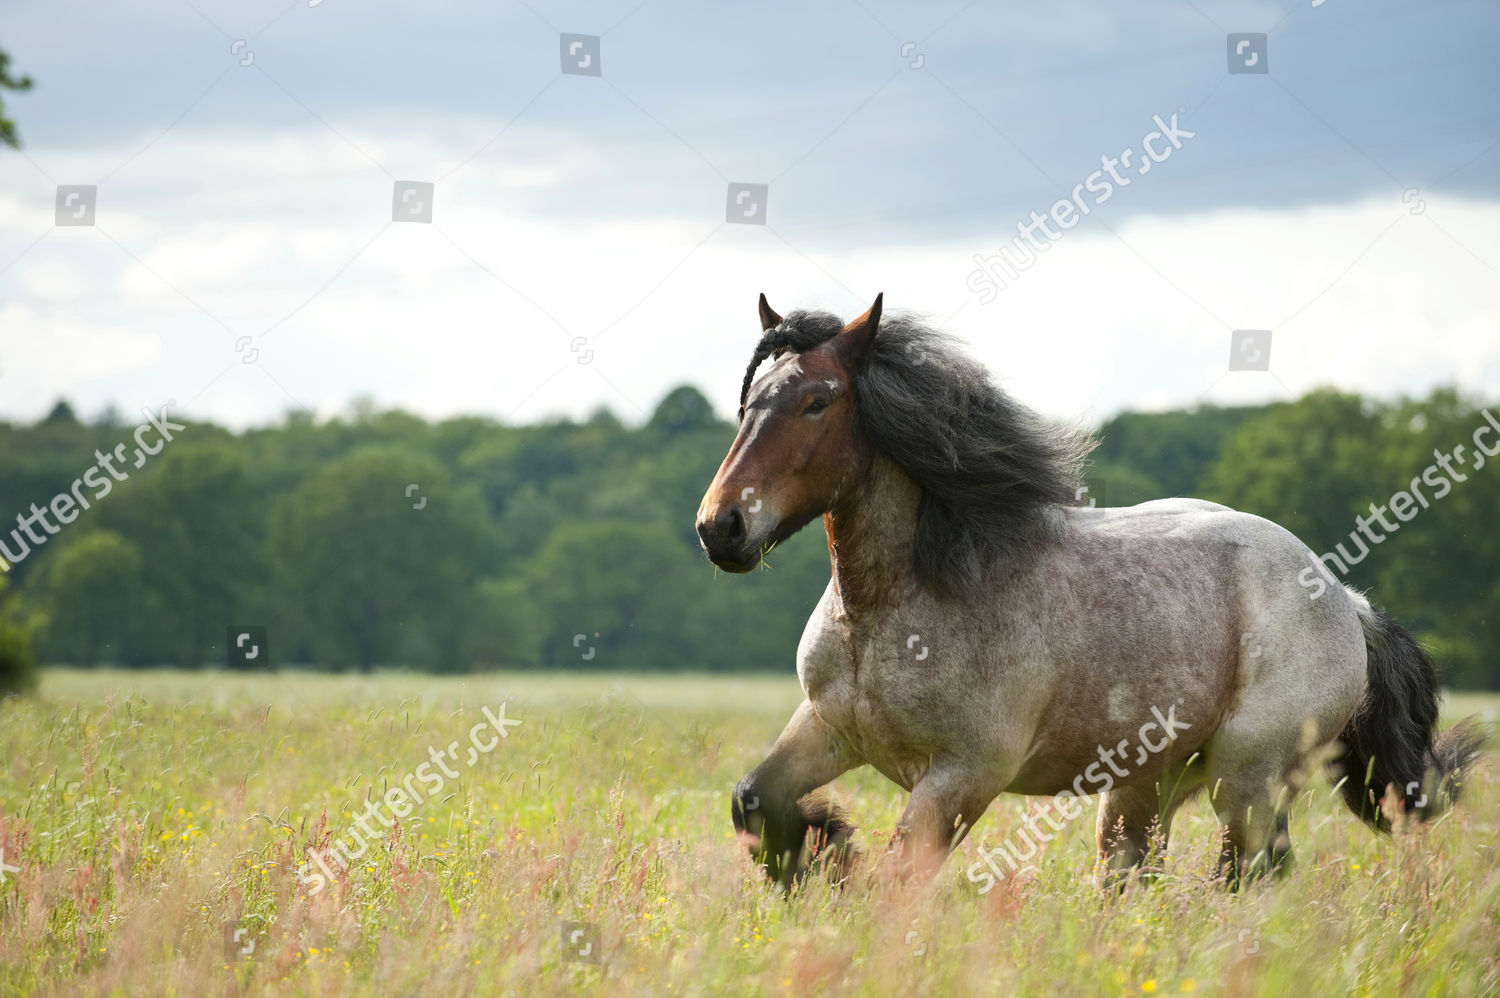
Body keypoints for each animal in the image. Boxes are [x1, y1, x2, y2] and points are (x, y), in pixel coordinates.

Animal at [696, 293, 1487, 890]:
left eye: (818, 402)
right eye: (748, 403)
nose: (721, 527)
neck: (890, 608)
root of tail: (1346, 600)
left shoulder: (965, 775)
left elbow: (900, 879)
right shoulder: (830, 729)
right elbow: (755, 800)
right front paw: (823, 852)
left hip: (1247, 779)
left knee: (1247, 873)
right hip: (1146, 786)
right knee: (1134, 875)